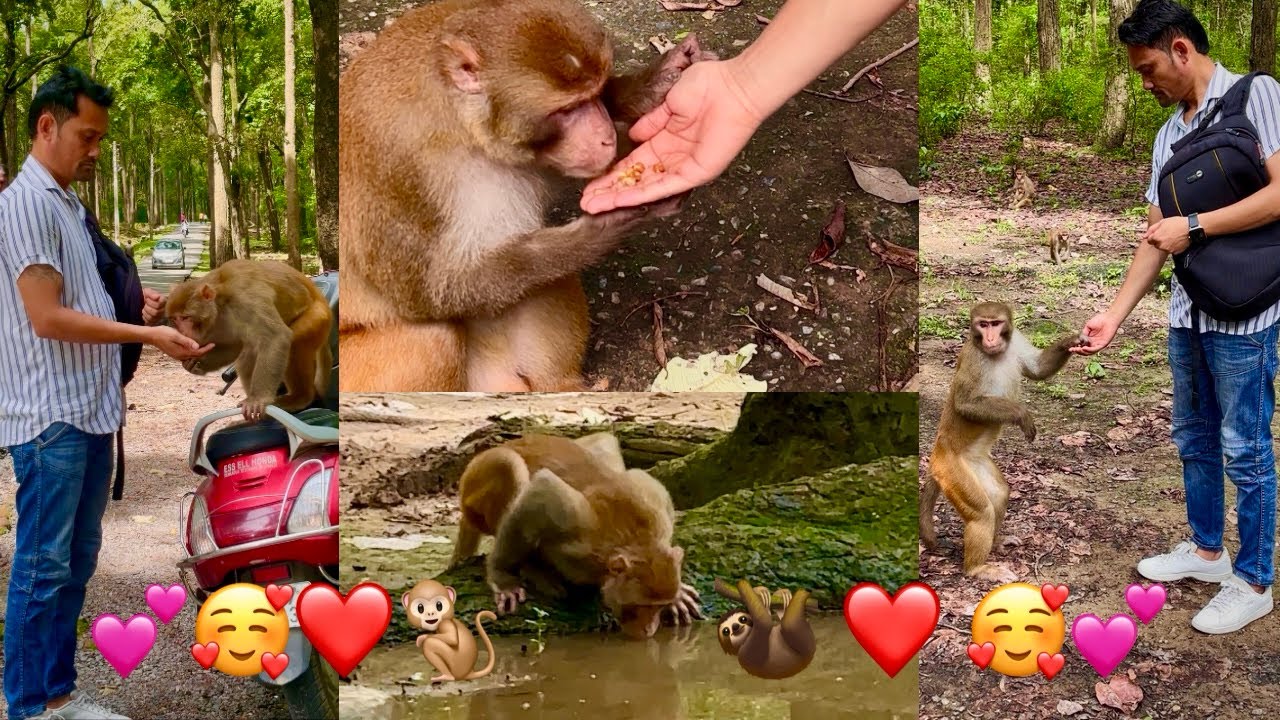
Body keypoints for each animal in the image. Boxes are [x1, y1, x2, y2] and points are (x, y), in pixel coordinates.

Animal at [167, 259, 332, 422]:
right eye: (175, 319)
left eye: (186, 317)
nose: (182, 331)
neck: (221, 298)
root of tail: (322, 299)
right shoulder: (221, 321)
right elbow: (235, 345)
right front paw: (195, 363)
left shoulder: (245, 298)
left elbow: (276, 336)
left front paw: (257, 400)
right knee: (247, 353)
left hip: (317, 317)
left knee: (295, 343)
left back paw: (300, 397)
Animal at [338, 0, 716, 392]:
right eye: (565, 110)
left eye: (594, 95)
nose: (605, 137)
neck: (461, 126)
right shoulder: (396, 169)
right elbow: (428, 294)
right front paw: (606, 227)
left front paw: (656, 82)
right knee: (430, 339)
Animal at [447, 433, 702, 639]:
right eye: (643, 607)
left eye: (659, 607)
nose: (649, 629)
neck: (637, 542)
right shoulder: (571, 520)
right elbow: (540, 492)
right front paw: (503, 577)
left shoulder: (653, 500)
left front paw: (678, 595)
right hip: (474, 492)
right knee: (509, 465)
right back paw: (533, 568)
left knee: (605, 442)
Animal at [920, 302, 1084, 583]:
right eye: (983, 324)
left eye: (995, 323)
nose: (990, 338)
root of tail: (937, 454)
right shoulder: (973, 359)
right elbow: (965, 405)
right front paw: (1020, 414)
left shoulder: (1015, 340)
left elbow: (1038, 369)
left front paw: (1071, 341)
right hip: (951, 470)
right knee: (982, 512)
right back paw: (976, 569)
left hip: (973, 462)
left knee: (997, 494)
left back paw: (996, 543)